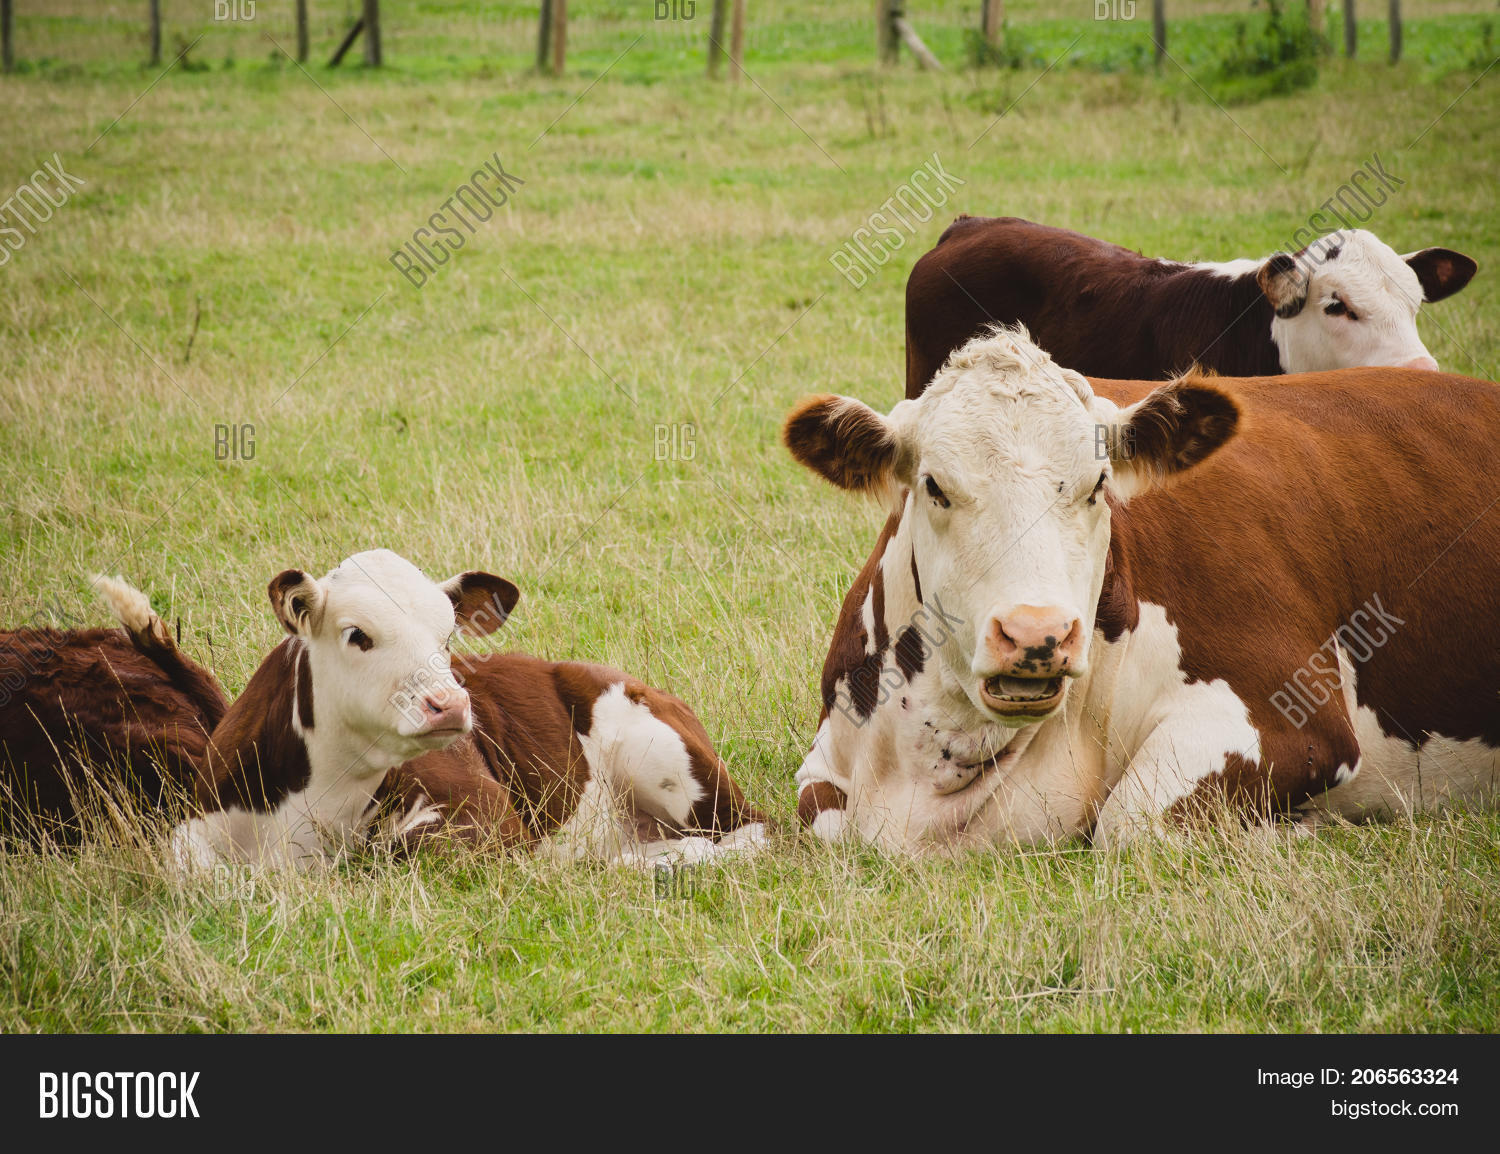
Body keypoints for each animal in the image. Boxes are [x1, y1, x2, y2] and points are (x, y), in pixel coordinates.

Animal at [172, 549, 766, 868]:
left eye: (447, 635)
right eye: (357, 634)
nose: (450, 704)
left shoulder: (486, 815)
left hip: (668, 759)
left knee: (748, 835)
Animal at [784, 327, 1500, 853]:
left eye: (1097, 484)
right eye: (934, 485)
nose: (1037, 633)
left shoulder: (1294, 718)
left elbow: (1126, 826)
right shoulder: (824, 774)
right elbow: (825, 820)